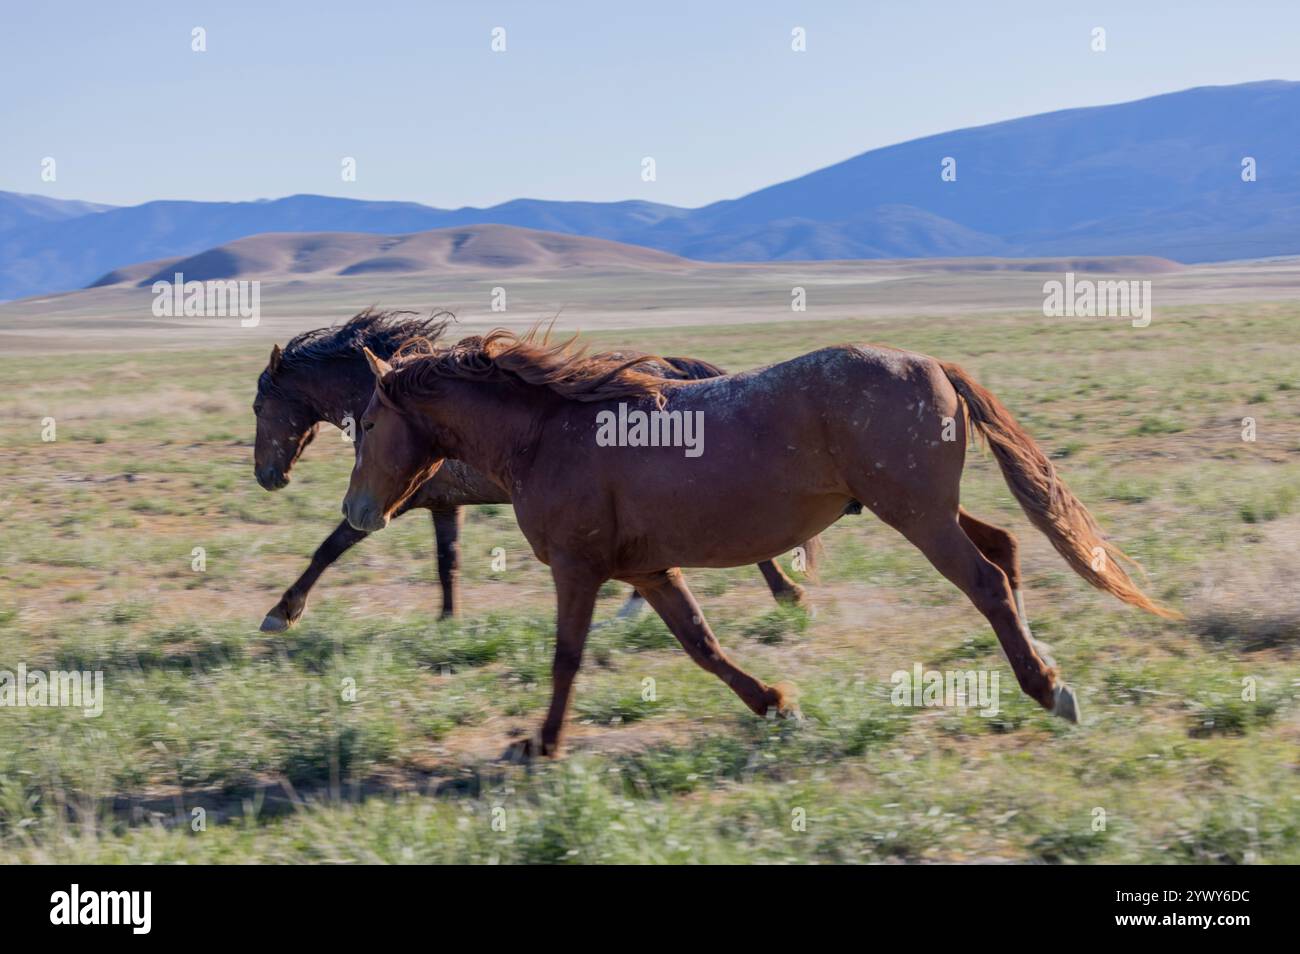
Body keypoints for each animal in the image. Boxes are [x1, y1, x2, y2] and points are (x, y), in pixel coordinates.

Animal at [252, 309, 813, 631]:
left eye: (259, 407)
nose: (267, 478)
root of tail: (672, 369)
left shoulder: (394, 501)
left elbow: (330, 547)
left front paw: (281, 613)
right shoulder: (441, 504)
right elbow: (447, 561)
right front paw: (448, 620)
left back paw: (784, 595)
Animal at [342, 329, 1180, 758]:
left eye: (370, 421)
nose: (354, 512)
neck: (549, 432)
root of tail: (932, 363)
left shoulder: (580, 569)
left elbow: (566, 658)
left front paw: (540, 744)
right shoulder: (649, 570)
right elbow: (702, 645)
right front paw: (776, 704)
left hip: (917, 517)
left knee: (987, 582)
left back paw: (1048, 689)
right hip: (926, 510)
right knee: (1004, 548)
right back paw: (1044, 669)